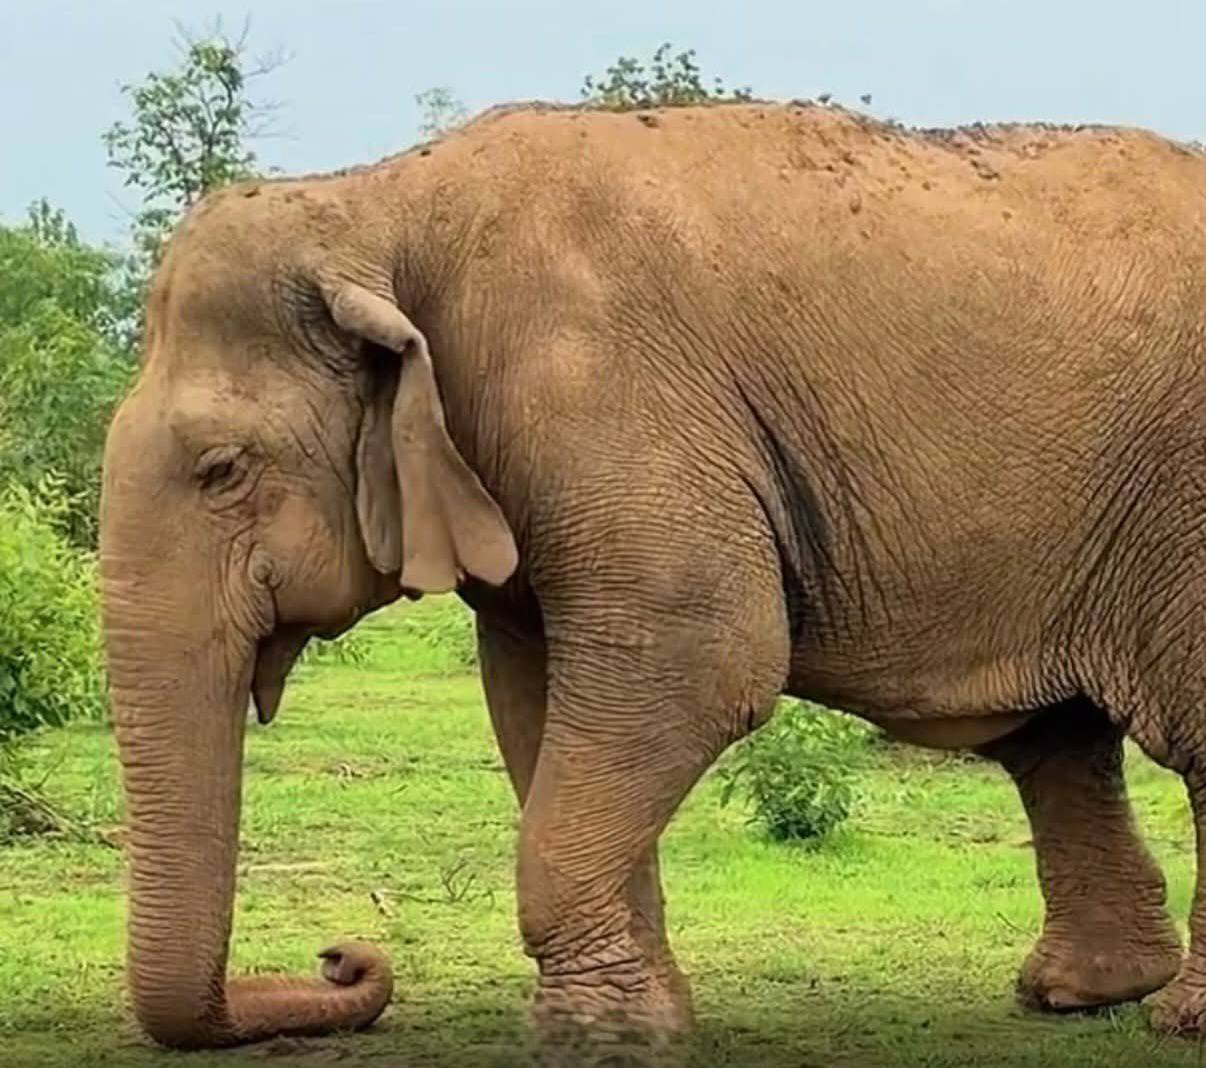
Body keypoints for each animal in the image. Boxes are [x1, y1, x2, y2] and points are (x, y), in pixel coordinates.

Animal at [98, 98, 1206, 1055]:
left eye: (221, 469)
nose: (338, 954)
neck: (376, 200)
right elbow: (537, 703)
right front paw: (642, 1022)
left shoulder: (604, 404)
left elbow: (702, 658)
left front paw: (590, 1037)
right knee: (1057, 742)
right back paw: (1079, 995)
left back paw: (1175, 1020)